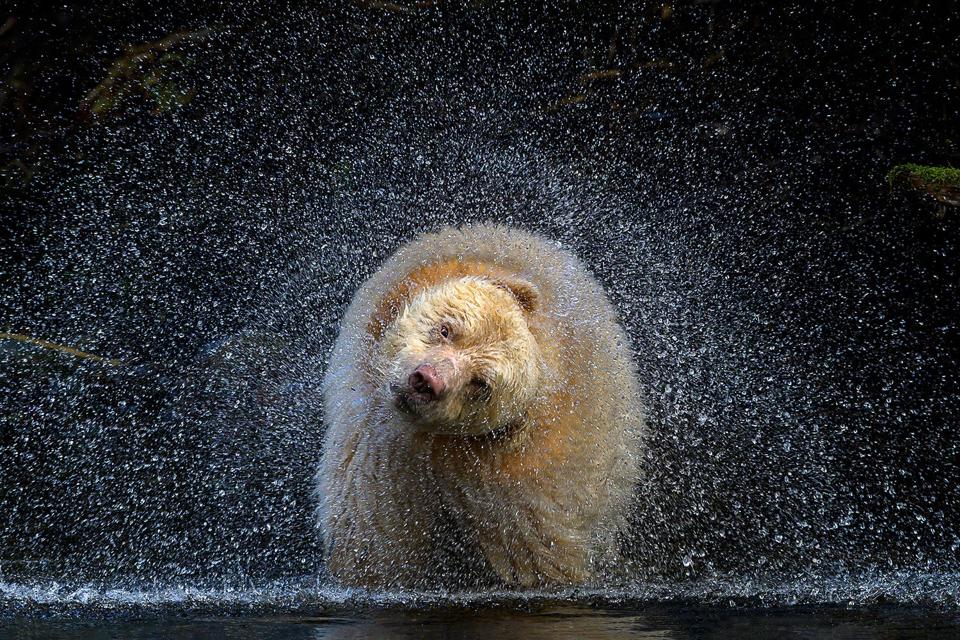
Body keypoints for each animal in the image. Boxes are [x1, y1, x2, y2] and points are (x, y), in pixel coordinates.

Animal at [316, 224, 644, 590]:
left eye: (480, 384)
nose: (426, 381)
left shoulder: (525, 489)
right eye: (446, 329)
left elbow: (541, 555)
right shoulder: (378, 438)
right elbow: (373, 525)